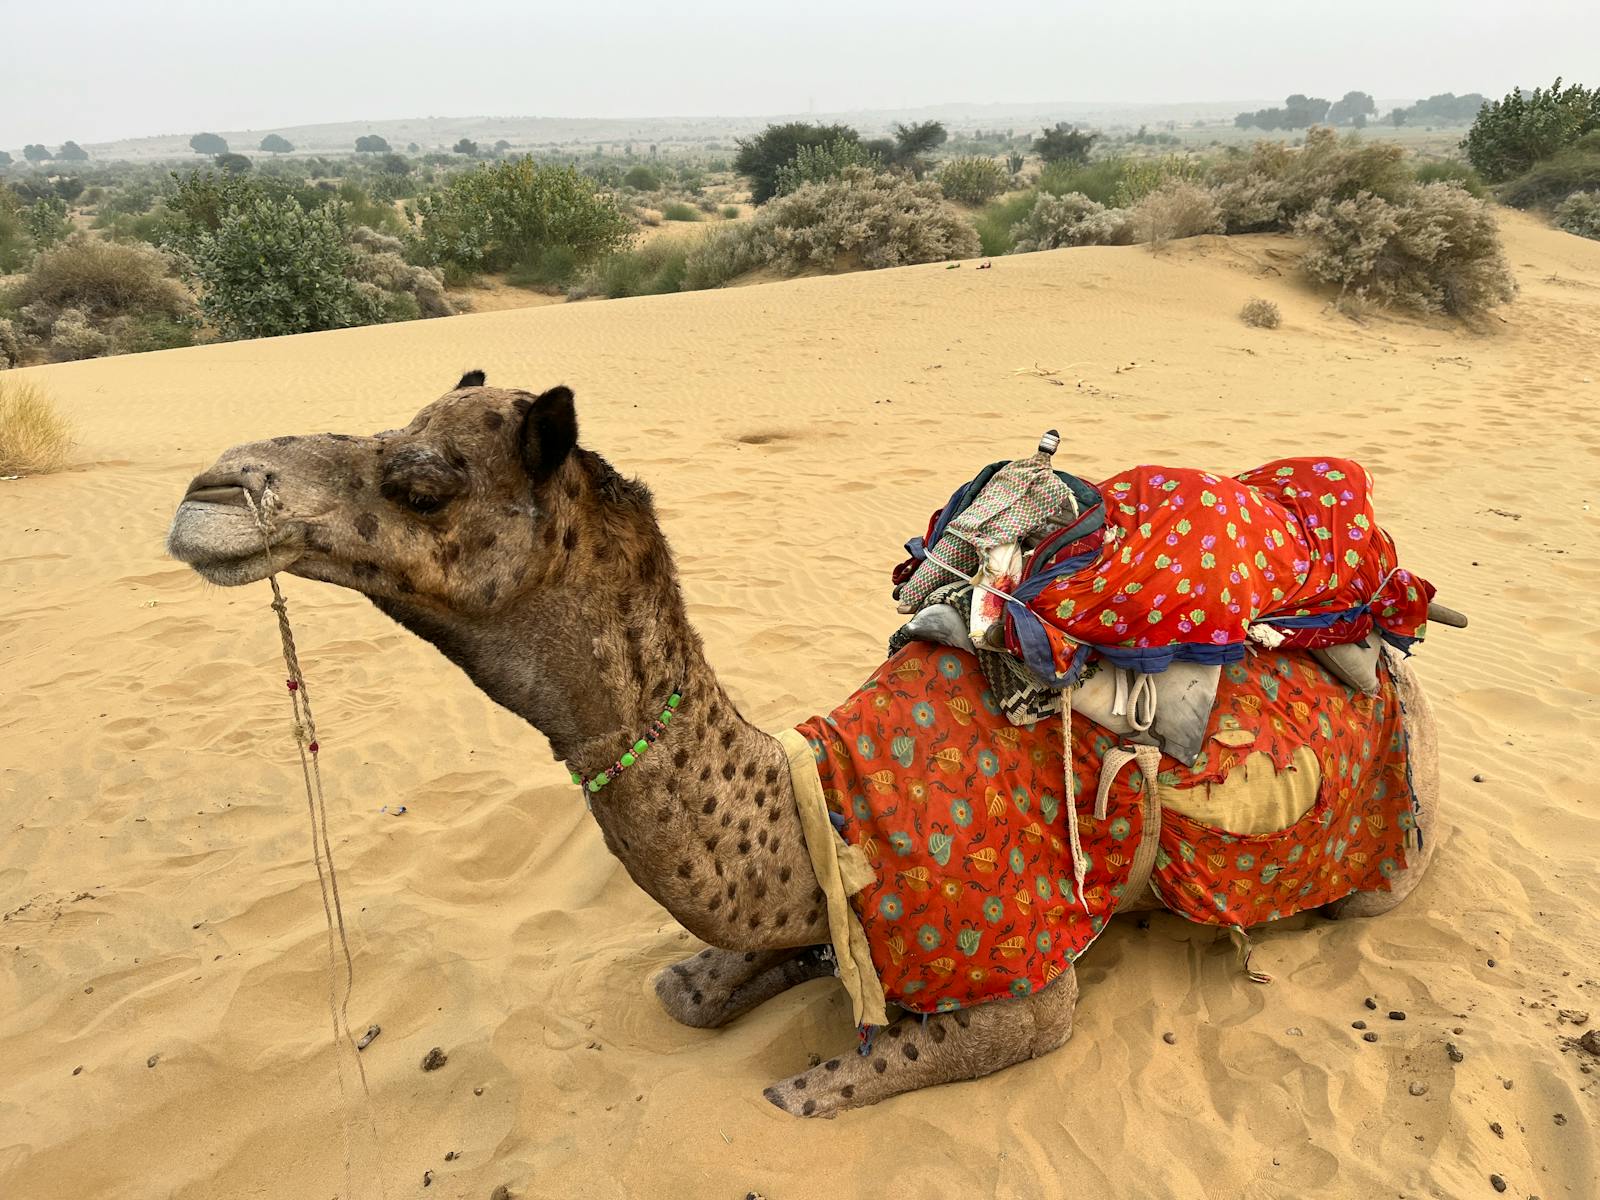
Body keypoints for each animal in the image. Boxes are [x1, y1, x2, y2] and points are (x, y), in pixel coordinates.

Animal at [166, 374, 1441, 1117]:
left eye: (420, 482)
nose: (208, 491)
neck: (825, 805)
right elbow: (697, 987)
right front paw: (735, 974)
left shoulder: (1027, 988)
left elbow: (802, 1090)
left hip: (1389, 854)